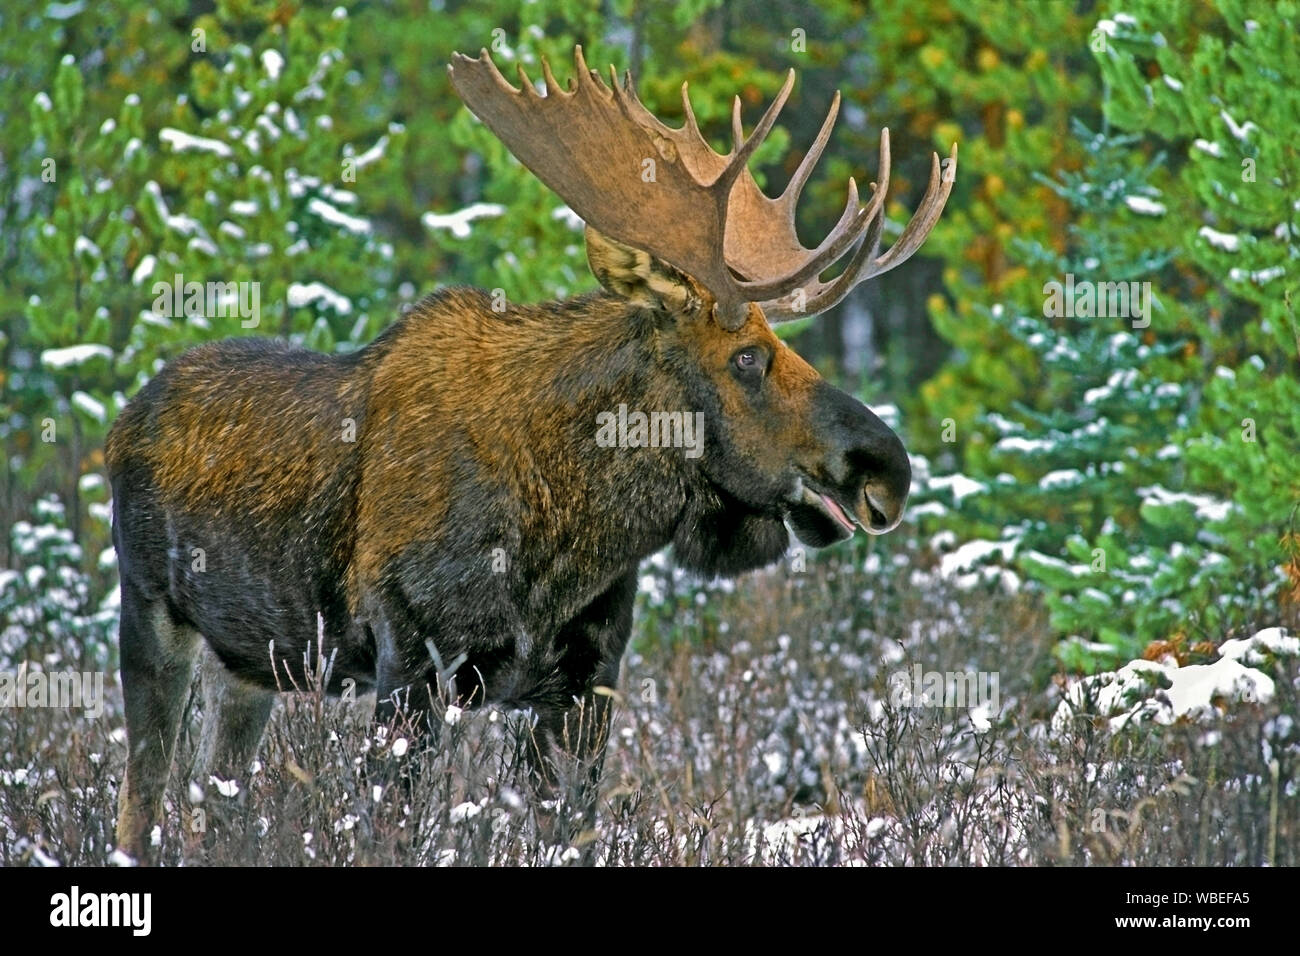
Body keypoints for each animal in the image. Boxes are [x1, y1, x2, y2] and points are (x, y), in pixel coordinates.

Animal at [107, 46, 956, 858]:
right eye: (746, 357)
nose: (888, 467)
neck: (564, 541)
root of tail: (125, 419)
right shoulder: (409, 663)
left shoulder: (584, 685)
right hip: (150, 614)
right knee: (139, 802)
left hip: (249, 664)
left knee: (215, 800)